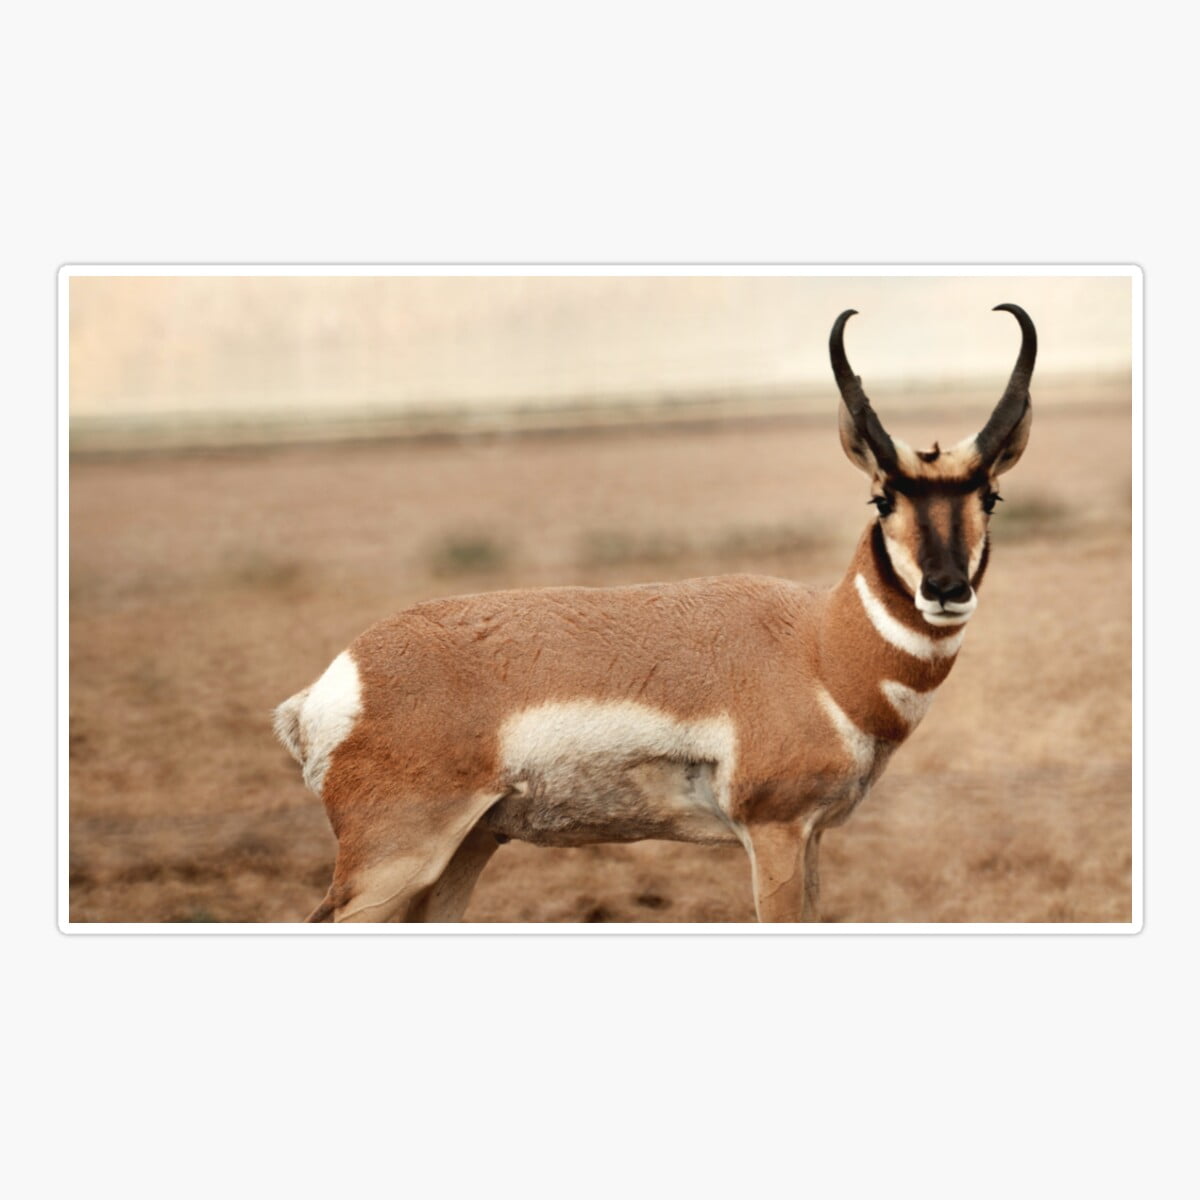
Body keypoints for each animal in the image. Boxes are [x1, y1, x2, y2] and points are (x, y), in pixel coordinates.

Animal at [275, 304, 1036, 923]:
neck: (820, 647)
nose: (945, 588)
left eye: (990, 496)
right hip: (396, 864)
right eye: (882, 497)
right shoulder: (775, 832)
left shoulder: (813, 835)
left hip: (464, 850)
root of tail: (336, 680)